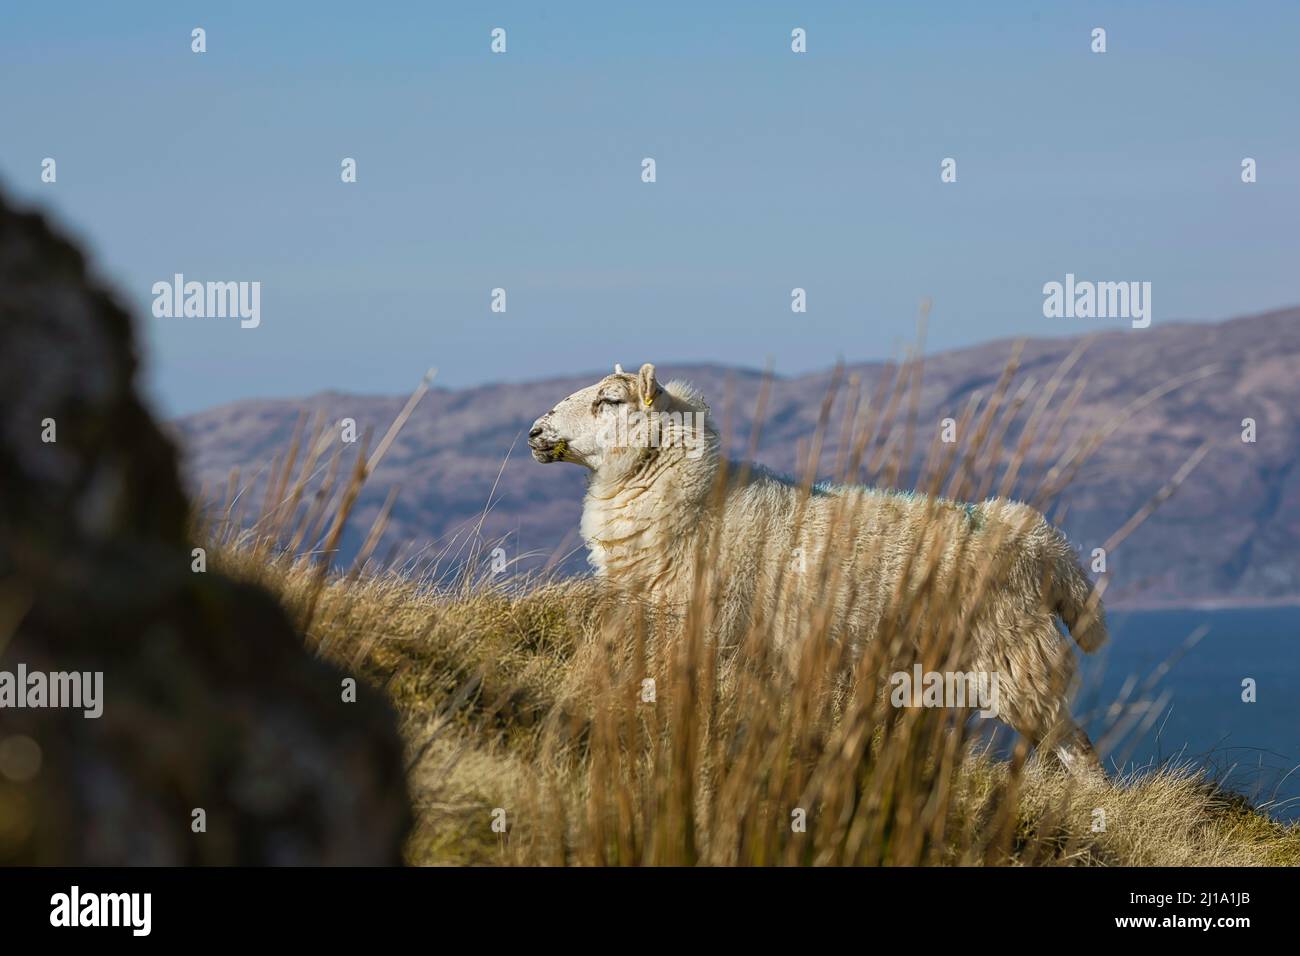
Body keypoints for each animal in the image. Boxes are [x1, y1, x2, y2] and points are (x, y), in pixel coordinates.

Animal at [529, 362, 1109, 773]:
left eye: (609, 400)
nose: (534, 432)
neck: (699, 504)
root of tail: (1036, 537)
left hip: (1013, 656)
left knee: (1075, 746)